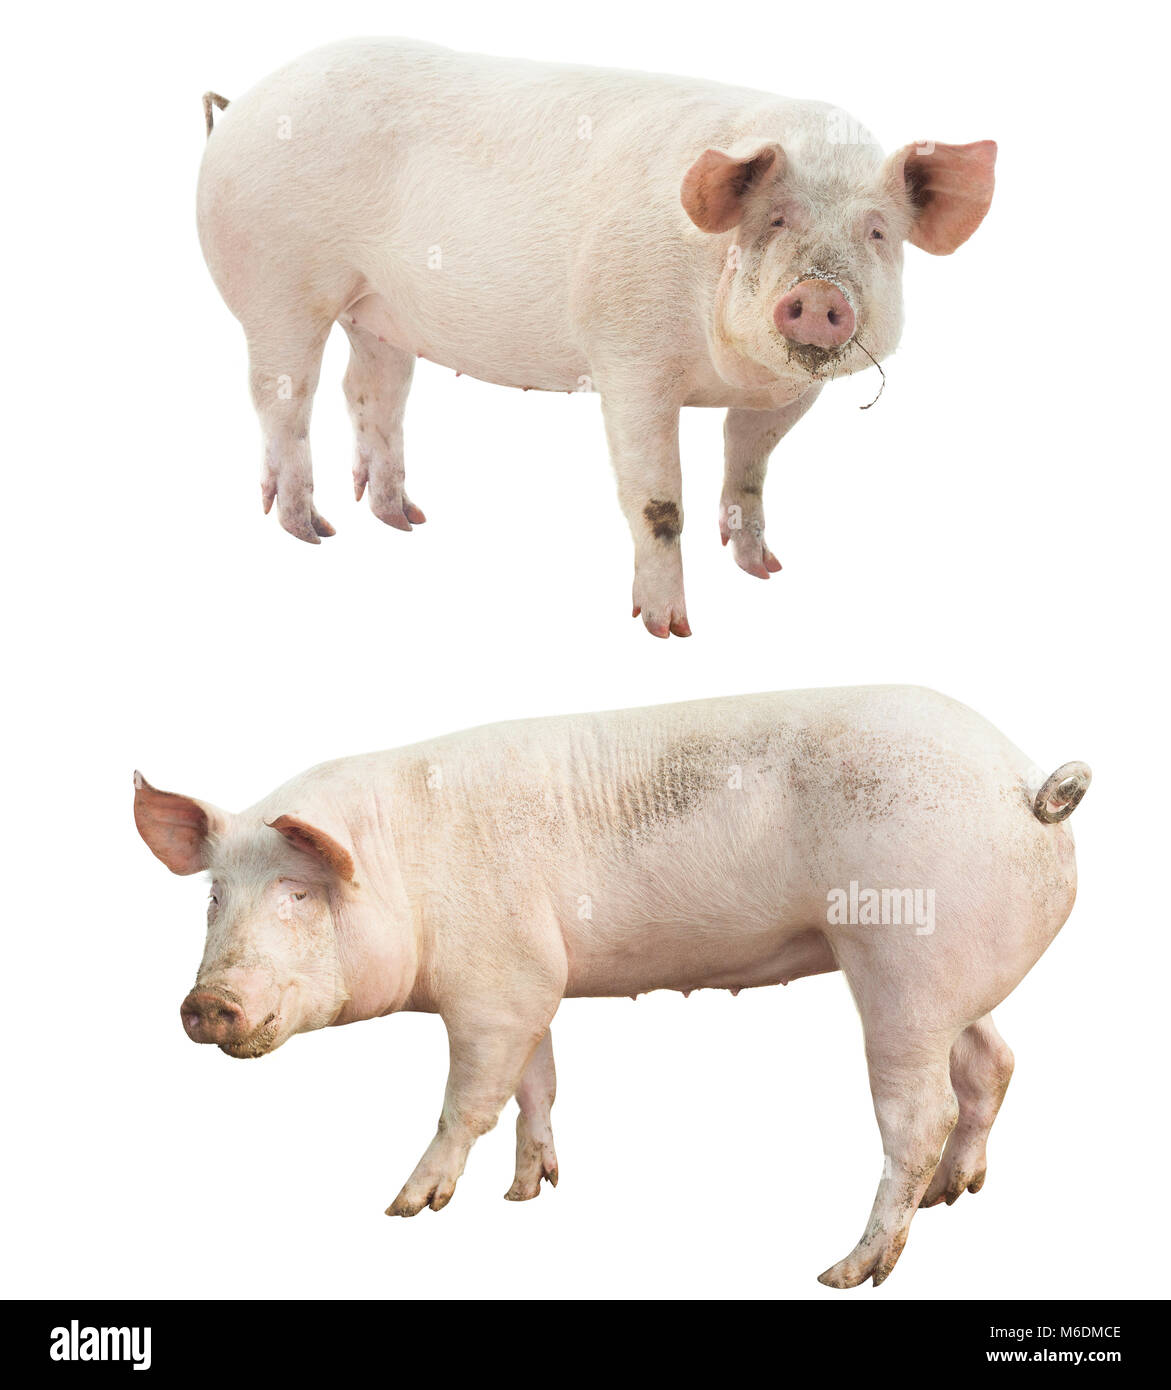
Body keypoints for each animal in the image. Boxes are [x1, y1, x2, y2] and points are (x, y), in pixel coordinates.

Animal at [134, 685, 1088, 1287]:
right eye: (215, 896)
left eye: (298, 894)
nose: (205, 1002)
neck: (401, 869)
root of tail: (1026, 784)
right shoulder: (534, 978)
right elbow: (536, 1084)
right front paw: (528, 1193)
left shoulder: (492, 986)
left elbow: (466, 1102)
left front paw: (406, 1209)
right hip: (953, 983)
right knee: (994, 1064)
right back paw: (954, 1196)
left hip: (901, 968)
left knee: (919, 1113)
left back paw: (844, 1272)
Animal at [196, 39, 996, 637]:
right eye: (773, 220)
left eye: (877, 233)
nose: (820, 295)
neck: (730, 376)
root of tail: (239, 108)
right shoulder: (629, 361)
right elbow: (658, 500)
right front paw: (670, 629)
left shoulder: (786, 396)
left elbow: (749, 470)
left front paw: (764, 569)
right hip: (277, 287)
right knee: (281, 398)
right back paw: (310, 529)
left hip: (380, 313)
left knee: (370, 394)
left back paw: (402, 519)